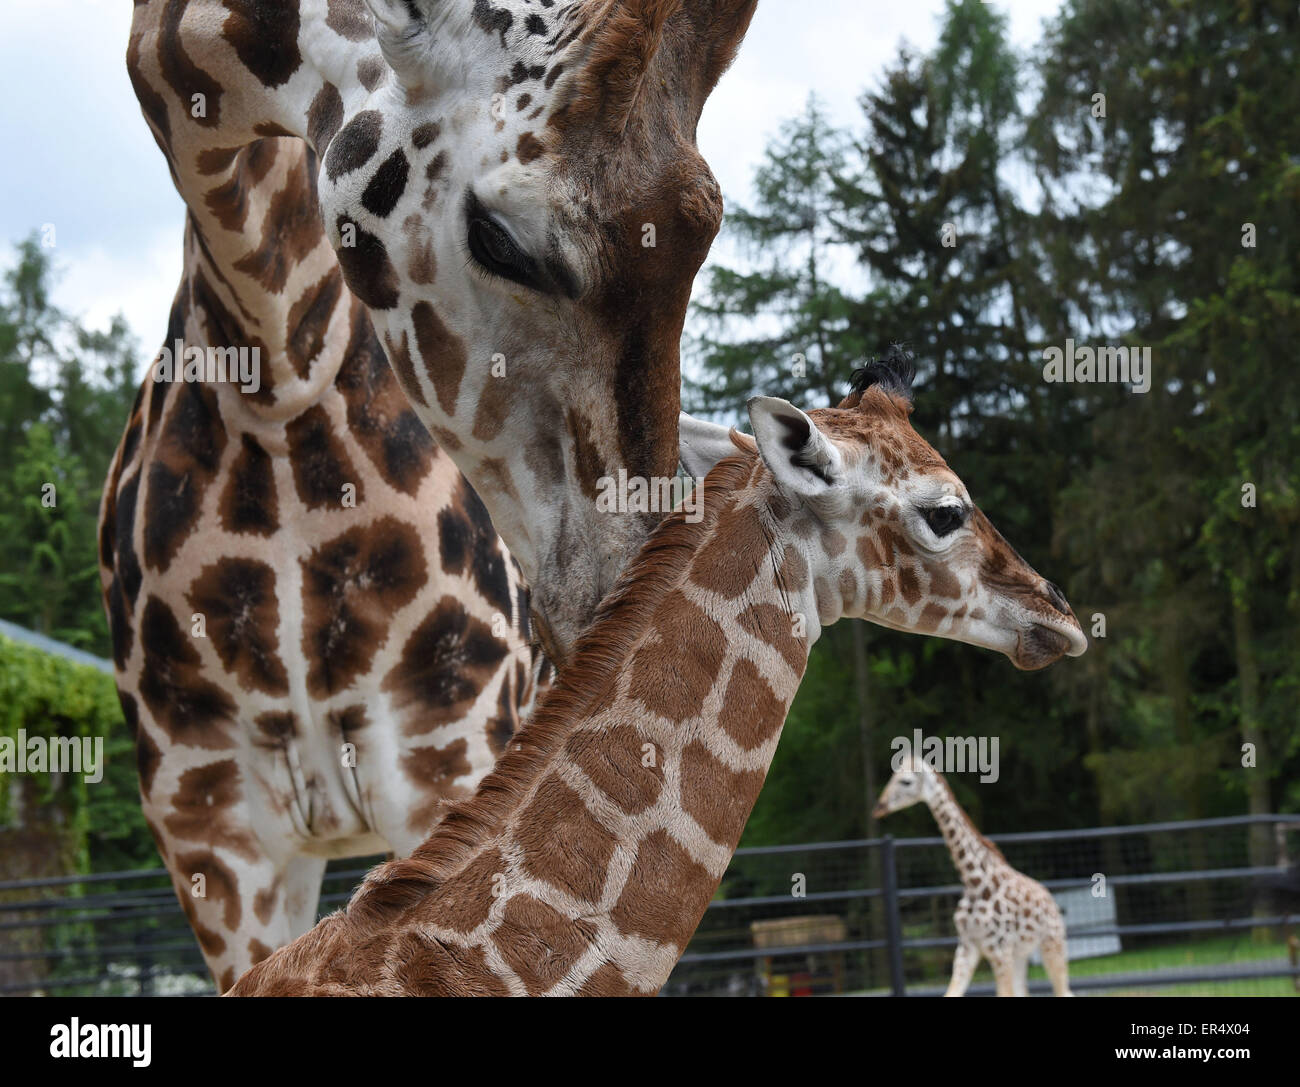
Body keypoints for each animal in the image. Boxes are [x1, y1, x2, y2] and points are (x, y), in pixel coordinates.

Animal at [874, 757, 1074, 997]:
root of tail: (1050, 898)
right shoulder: (967, 948)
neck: (975, 881)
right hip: (1021, 954)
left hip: (1052, 943)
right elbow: (951, 992)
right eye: (891, 777)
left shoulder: (999, 951)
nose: (879, 807)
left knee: (1064, 990)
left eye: (906, 781)